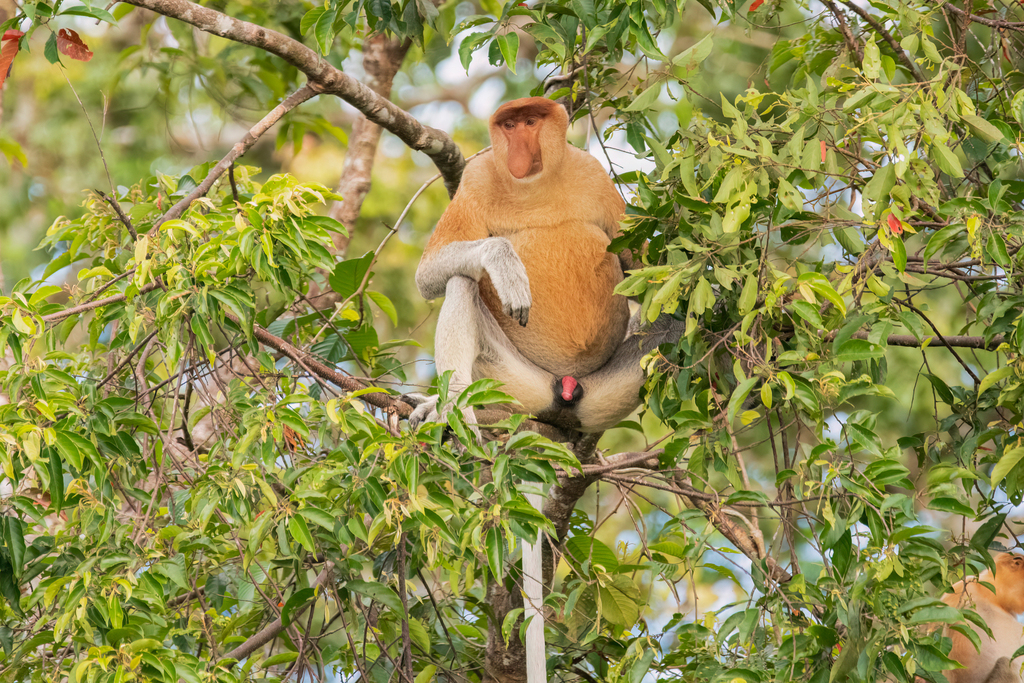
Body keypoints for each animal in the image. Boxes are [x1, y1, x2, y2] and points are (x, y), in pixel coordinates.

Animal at [409, 96, 680, 435]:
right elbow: (427, 274)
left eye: (531, 122)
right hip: (522, 384)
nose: (518, 152)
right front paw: (504, 265)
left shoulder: (593, 173)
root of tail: (567, 387)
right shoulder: (476, 178)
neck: (535, 186)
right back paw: (452, 411)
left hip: (601, 391)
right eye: (509, 125)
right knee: (461, 281)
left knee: (681, 317)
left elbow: (643, 273)